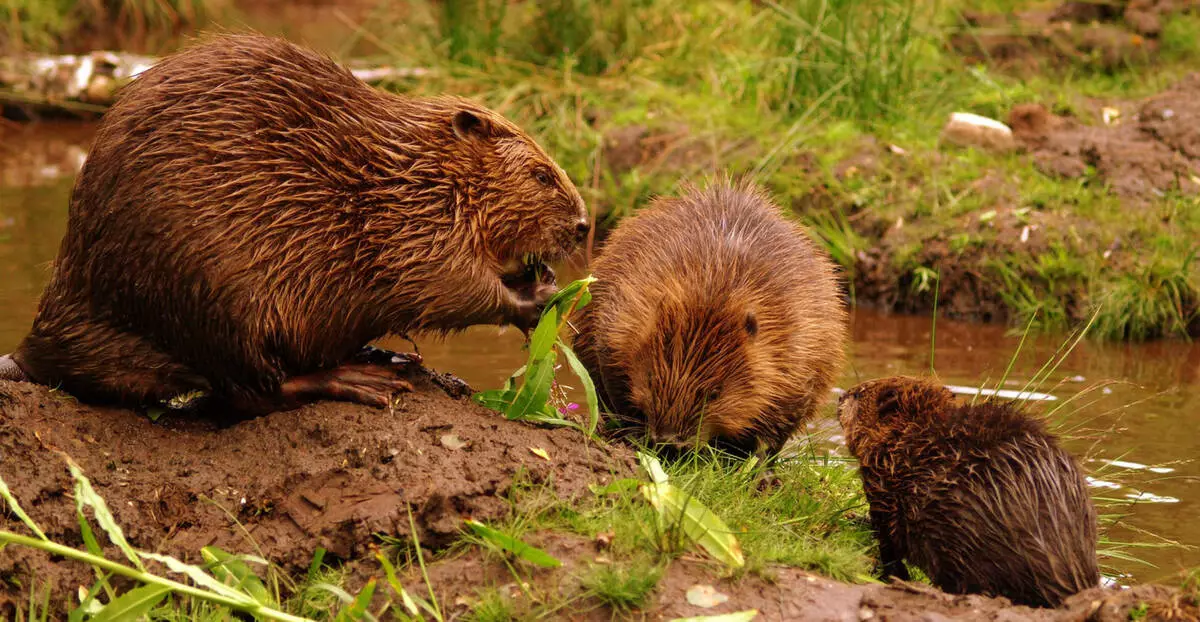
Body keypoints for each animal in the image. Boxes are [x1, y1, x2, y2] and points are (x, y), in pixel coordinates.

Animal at [2, 32, 588, 415]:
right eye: (541, 174)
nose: (584, 225)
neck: (415, 170)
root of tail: (35, 346)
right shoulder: (410, 225)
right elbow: (442, 285)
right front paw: (539, 298)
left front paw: (542, 278)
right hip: (213, 293)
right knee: (250, 392)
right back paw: (365, 378)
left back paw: (381, 354)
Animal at [568, 180, 844, 458]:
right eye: (651, 379)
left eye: (714, 394)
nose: (669, 443)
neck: (716, 286)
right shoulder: (623, 317)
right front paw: (630, 431)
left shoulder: (798, 348)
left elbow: (783, 414)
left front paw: (754, 461)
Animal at [840, 377, 1099, 607]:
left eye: (858, 394)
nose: (841, 396)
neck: (908, 435)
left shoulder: (882, 490)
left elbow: (888, 543)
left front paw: (889, 574)